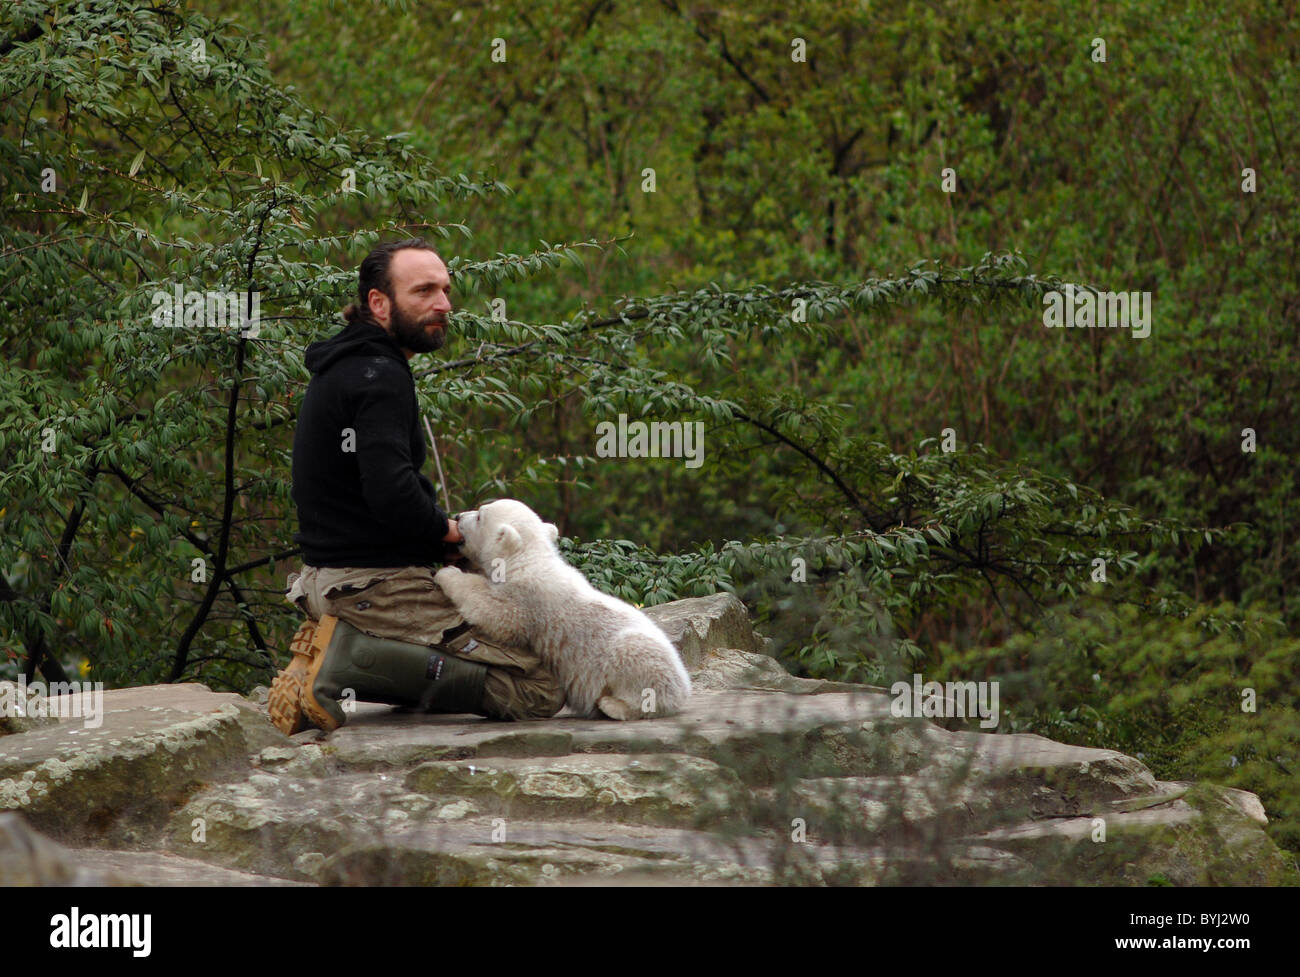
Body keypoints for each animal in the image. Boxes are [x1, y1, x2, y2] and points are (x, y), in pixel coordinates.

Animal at [433, 499, 692, 720]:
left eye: (479, 515)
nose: (457, 516)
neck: (528, 558)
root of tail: (684, 689)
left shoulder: (529, 598)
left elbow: (497, 613)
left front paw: (446, 574)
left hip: (640, 661)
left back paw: (612, 705)